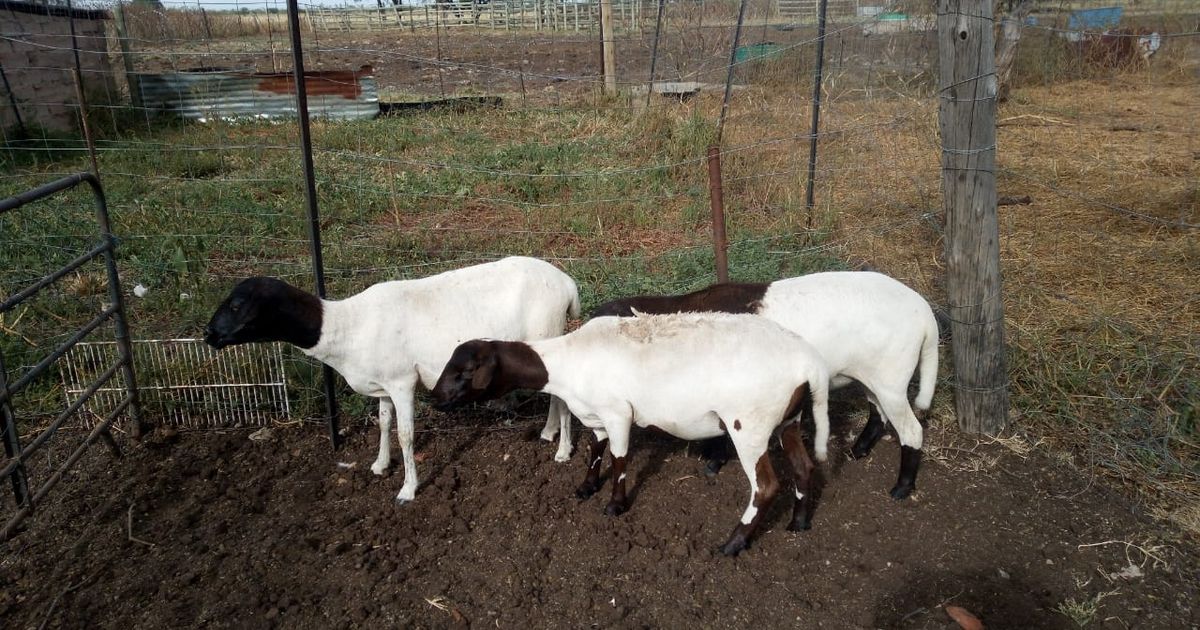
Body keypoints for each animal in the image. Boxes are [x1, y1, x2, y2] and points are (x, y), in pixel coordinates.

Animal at [203, 256, 580, 503]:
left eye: (237, 305)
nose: (208, 334)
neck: (345, 326)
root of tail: (567, 284)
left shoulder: (402, 382)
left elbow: (405, 435)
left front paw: (407, 490)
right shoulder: (382, 384)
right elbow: (383, 424)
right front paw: (380, 465)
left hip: (547, 332)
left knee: (561, 394)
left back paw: (562, 450)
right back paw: (549, 432)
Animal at [431, 312, 831, 556]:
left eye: (464, 370)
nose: (434, 398)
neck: (566, 363)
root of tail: (809, 364)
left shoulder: (618, 412)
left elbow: (620, 459)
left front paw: (614, 506)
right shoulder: (595, 415)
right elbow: (595, 450)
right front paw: (586, 487)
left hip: (749, 423)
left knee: (765, 487)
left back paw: (733, 543)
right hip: (789, 419)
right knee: (804, 468)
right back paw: (798, 524)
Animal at [590, 271, 939, 499]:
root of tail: (926, 316)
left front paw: (713, 462)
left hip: (892, 375)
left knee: (910, 430)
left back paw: (901, 488)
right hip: (875, 375)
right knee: (878, 412)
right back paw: (858, 451)